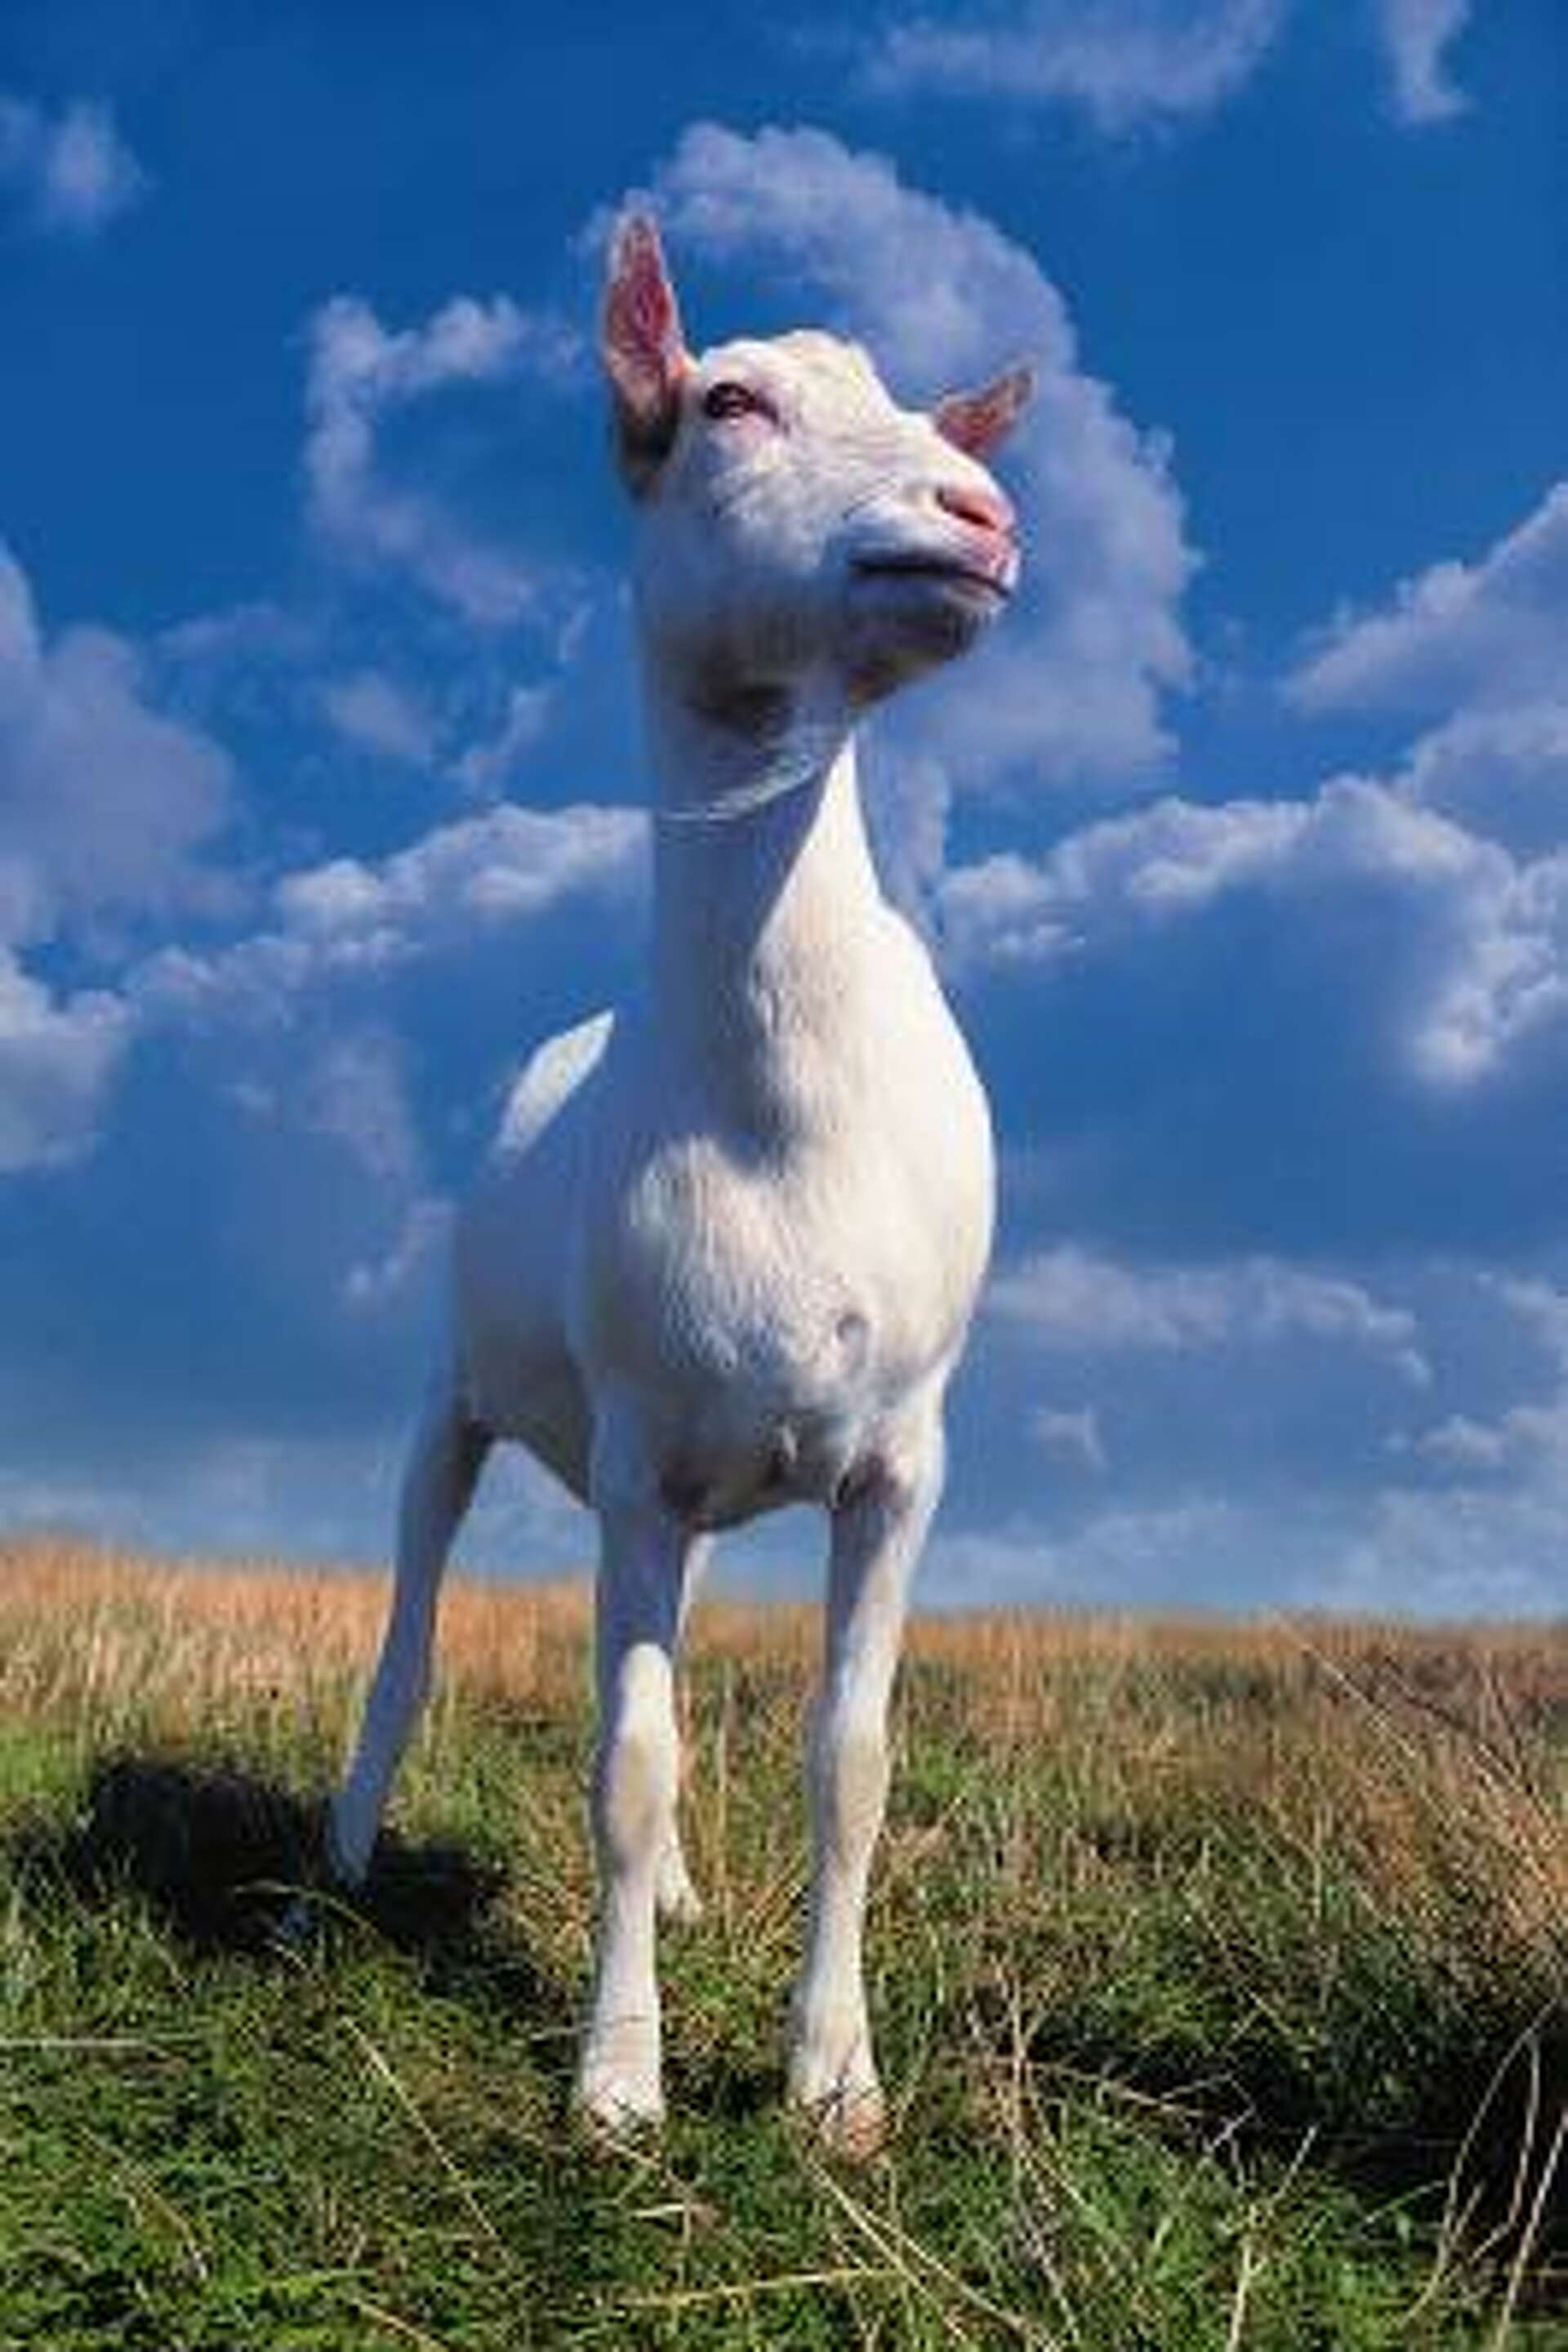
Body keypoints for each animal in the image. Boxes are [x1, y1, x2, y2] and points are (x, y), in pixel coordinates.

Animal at [330, 215, 1031, 2155]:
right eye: (726, 399)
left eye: (918, 404)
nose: (977, 512)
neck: (783, 1112)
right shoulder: (639, 1458)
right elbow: (626, 1764)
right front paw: (618, 2077)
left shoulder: (903, 1460)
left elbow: (847, 1759)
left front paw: (834, 2080)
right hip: (455, 1396)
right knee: (411, 1625)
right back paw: (341, 1857)